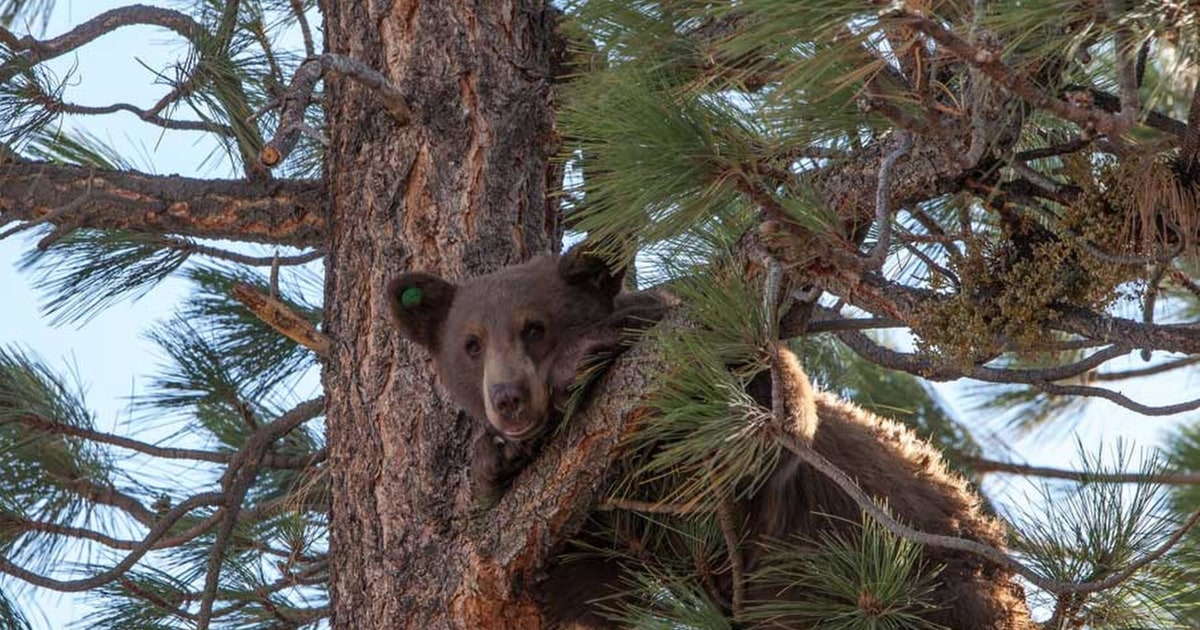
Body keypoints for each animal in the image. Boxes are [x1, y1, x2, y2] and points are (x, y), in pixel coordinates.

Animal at [388, 246, 1033, 629]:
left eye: (535, 327)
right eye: (471, 343)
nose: (508, 399)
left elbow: (777, 411)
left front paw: (585, 356)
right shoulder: (599, 519)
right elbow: (582, 585)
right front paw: (495, 459)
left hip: (940, 578)